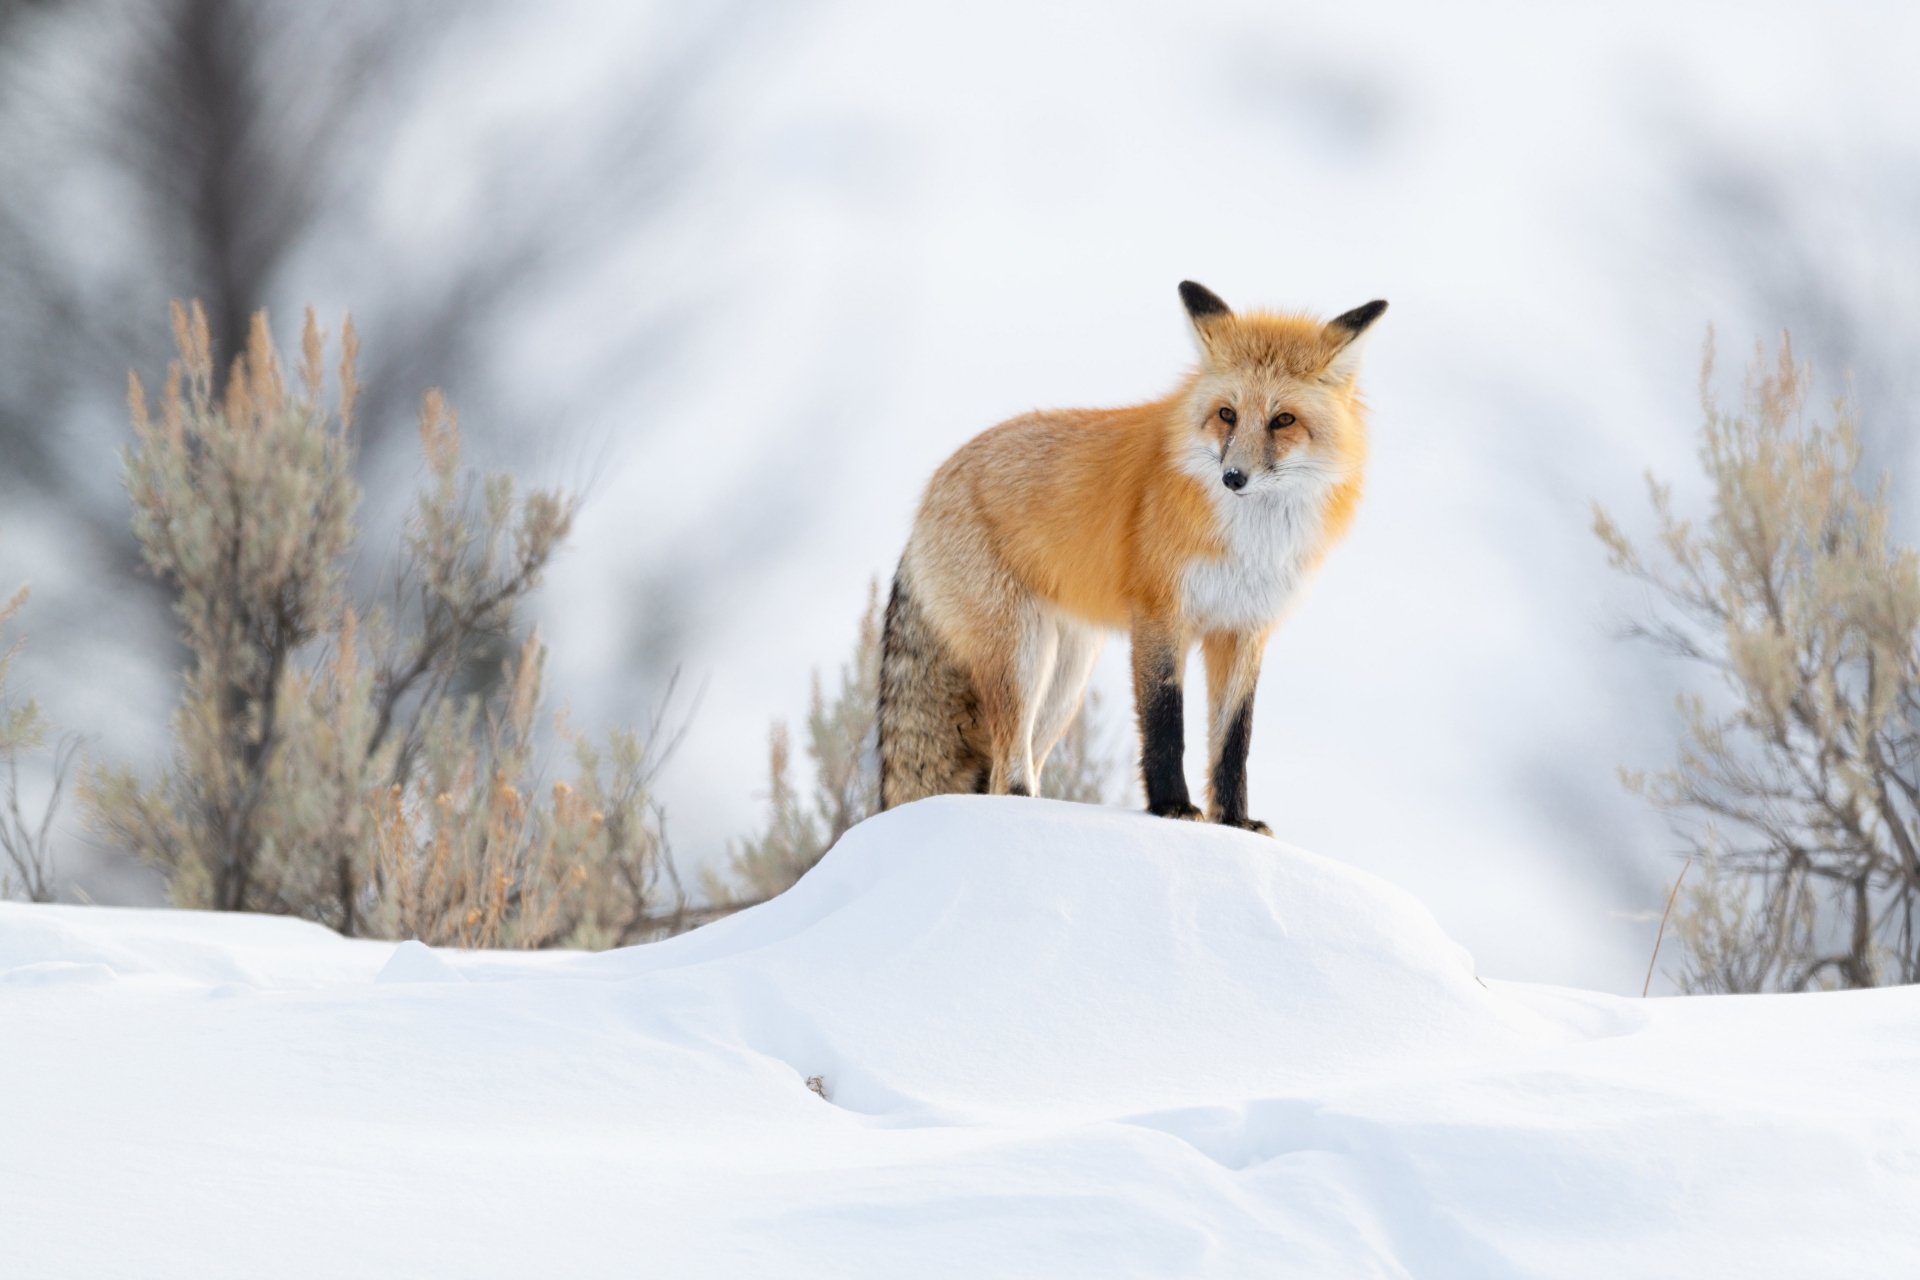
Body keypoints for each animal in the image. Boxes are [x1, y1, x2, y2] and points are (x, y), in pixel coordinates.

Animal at [877, 281, 1384, 833]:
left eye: (1283, 420)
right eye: (1227, 414)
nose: (1233, 477)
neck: (1252, 543)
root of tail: (930, 489)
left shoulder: (1243, 629)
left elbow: (1233, 742)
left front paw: (1234, 821)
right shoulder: (1160, 615)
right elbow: (1165, 723)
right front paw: (1173, 808)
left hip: (1066, 681)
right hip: (1024, 657)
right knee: (1006, 765)